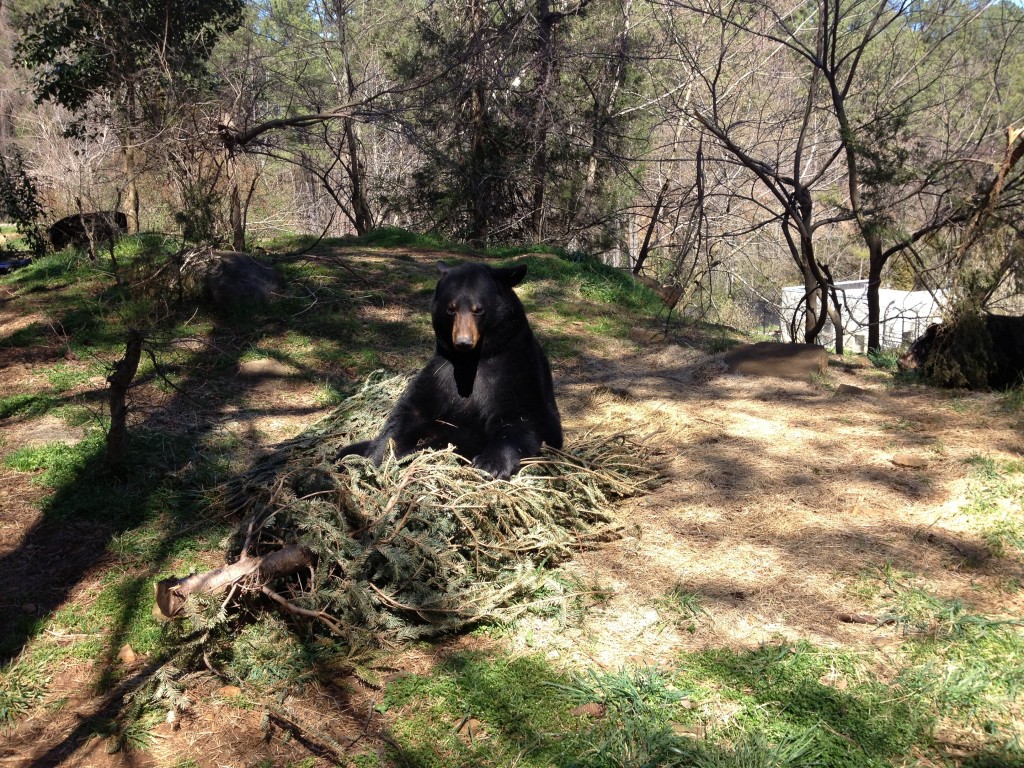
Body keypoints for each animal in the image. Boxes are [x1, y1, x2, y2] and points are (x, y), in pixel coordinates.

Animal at [339, 261, 562, 480]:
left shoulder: (515, 368)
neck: (471, 360)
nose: (463, 342)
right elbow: (406, 413)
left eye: (478, 309)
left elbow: (524, 418)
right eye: (450, 309)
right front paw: (378, 457)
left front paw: (491, 463)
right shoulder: (441, 372)